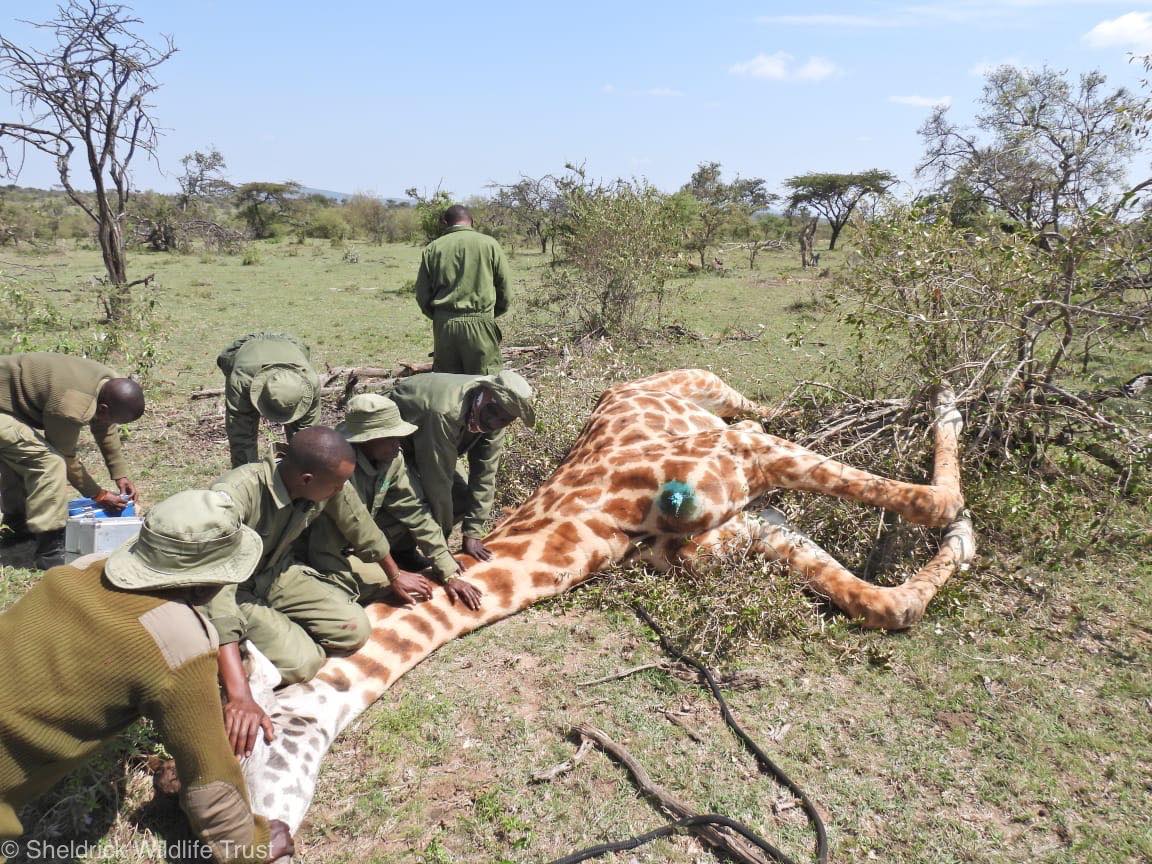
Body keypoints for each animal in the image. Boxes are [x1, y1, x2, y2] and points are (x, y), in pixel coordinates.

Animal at [241, 369, 974, 835]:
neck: (600, 526)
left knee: (761, 405)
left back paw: (931, 394)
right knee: (767, 413)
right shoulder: (744, 526)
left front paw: (953, 461)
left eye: (252, 734)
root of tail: (618, 387)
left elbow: (933, 502)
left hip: (707, 391)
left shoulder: (738, 455)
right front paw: (959, 545)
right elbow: (886, 603)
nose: (258, 840)